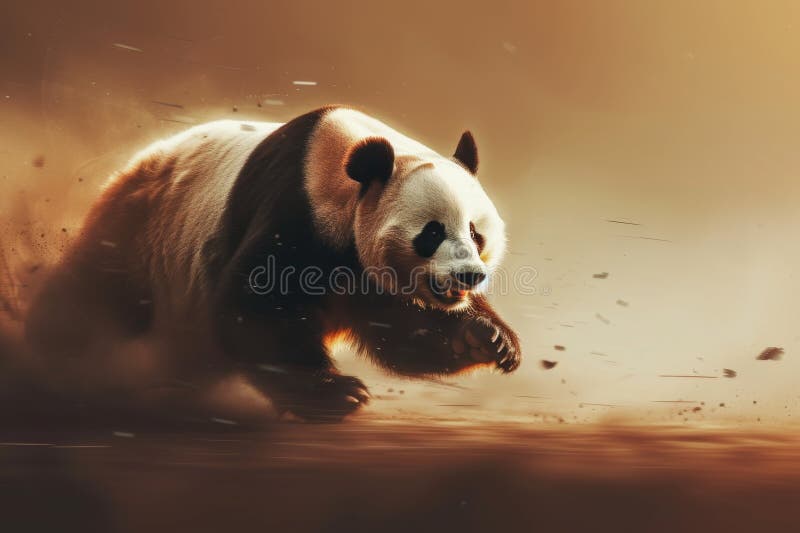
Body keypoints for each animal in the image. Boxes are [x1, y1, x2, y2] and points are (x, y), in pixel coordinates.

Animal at [25, 106, 521, 420]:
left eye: (476, 233)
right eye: (432, 232)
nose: (469, 275)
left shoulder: (369, 274)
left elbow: (403, 333)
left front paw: (488, 339)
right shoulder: (297, 211)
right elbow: (253, 308)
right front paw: (338, 395)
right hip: (136, 241)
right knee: (90, 305)